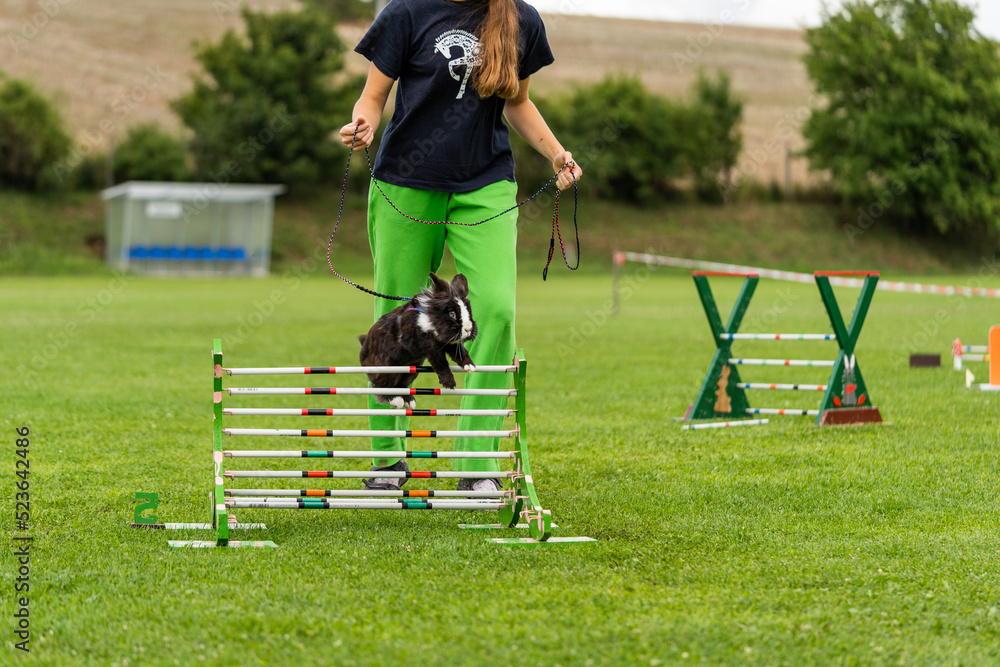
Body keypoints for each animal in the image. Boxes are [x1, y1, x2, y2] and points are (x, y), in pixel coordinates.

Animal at [358, 272, 478, 409]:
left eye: (469, 312)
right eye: (452, 313)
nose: (468, 329)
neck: (431, 319)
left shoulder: (450, 344)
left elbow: (461, 354)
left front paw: (470, 367)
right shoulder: (429, 347)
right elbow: (441, 363)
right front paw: (449, 383)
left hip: (409, 372)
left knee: (400, 385)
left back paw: (409, 401)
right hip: (387, 369)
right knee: (381, 386)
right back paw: (396, 400)